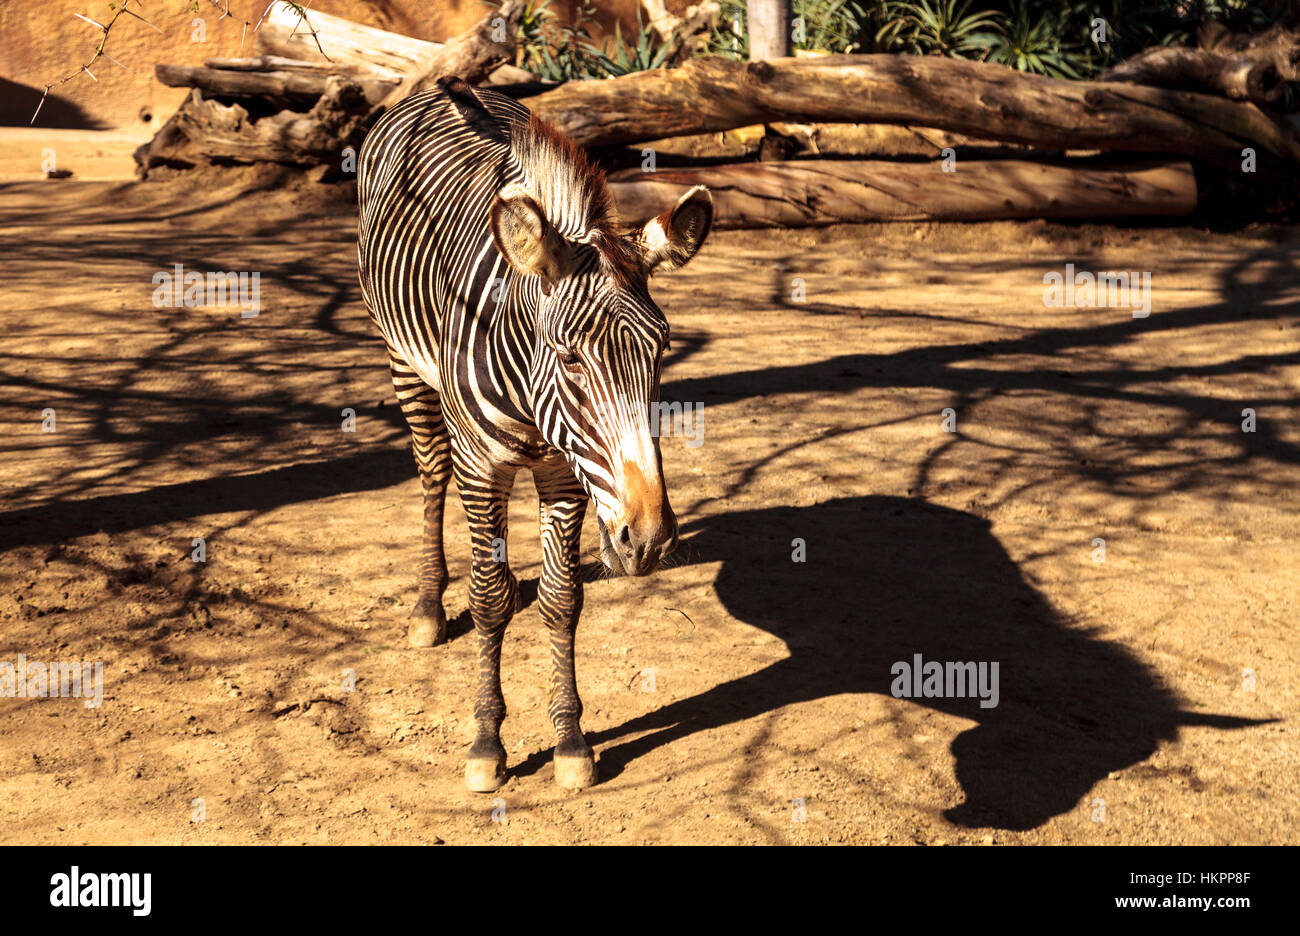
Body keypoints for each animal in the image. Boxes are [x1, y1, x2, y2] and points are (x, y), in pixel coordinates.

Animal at [356, 77, 713, 792]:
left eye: (662, 350)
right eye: (572, 358)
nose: (649, 541)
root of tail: (442, 85)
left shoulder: (564, 476)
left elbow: (561, 599)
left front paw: (571, 741)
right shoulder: (483, 468)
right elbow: (489, 599)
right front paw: (486, 742)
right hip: (402, 362)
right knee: (430, 473)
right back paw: (428, 609)